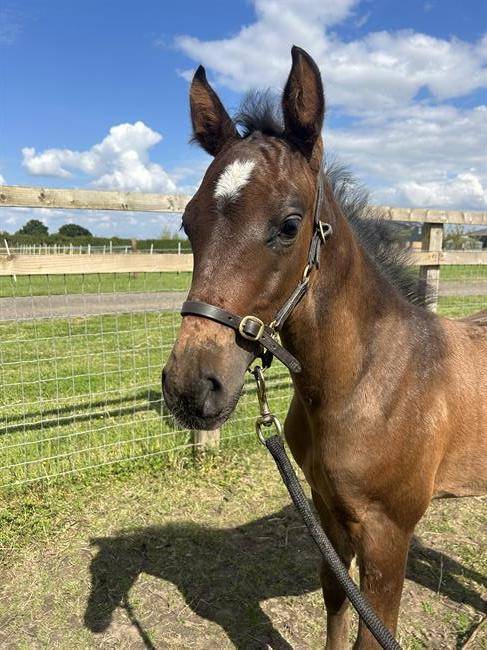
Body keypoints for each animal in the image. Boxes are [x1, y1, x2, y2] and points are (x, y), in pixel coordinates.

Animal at [162, 46, 487, 648]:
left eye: (290, 225)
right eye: (188, 223)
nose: (190, 387)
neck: (369, 381)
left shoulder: (388, 531)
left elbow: (372, 629)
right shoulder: (326, 509)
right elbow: (336, 598)